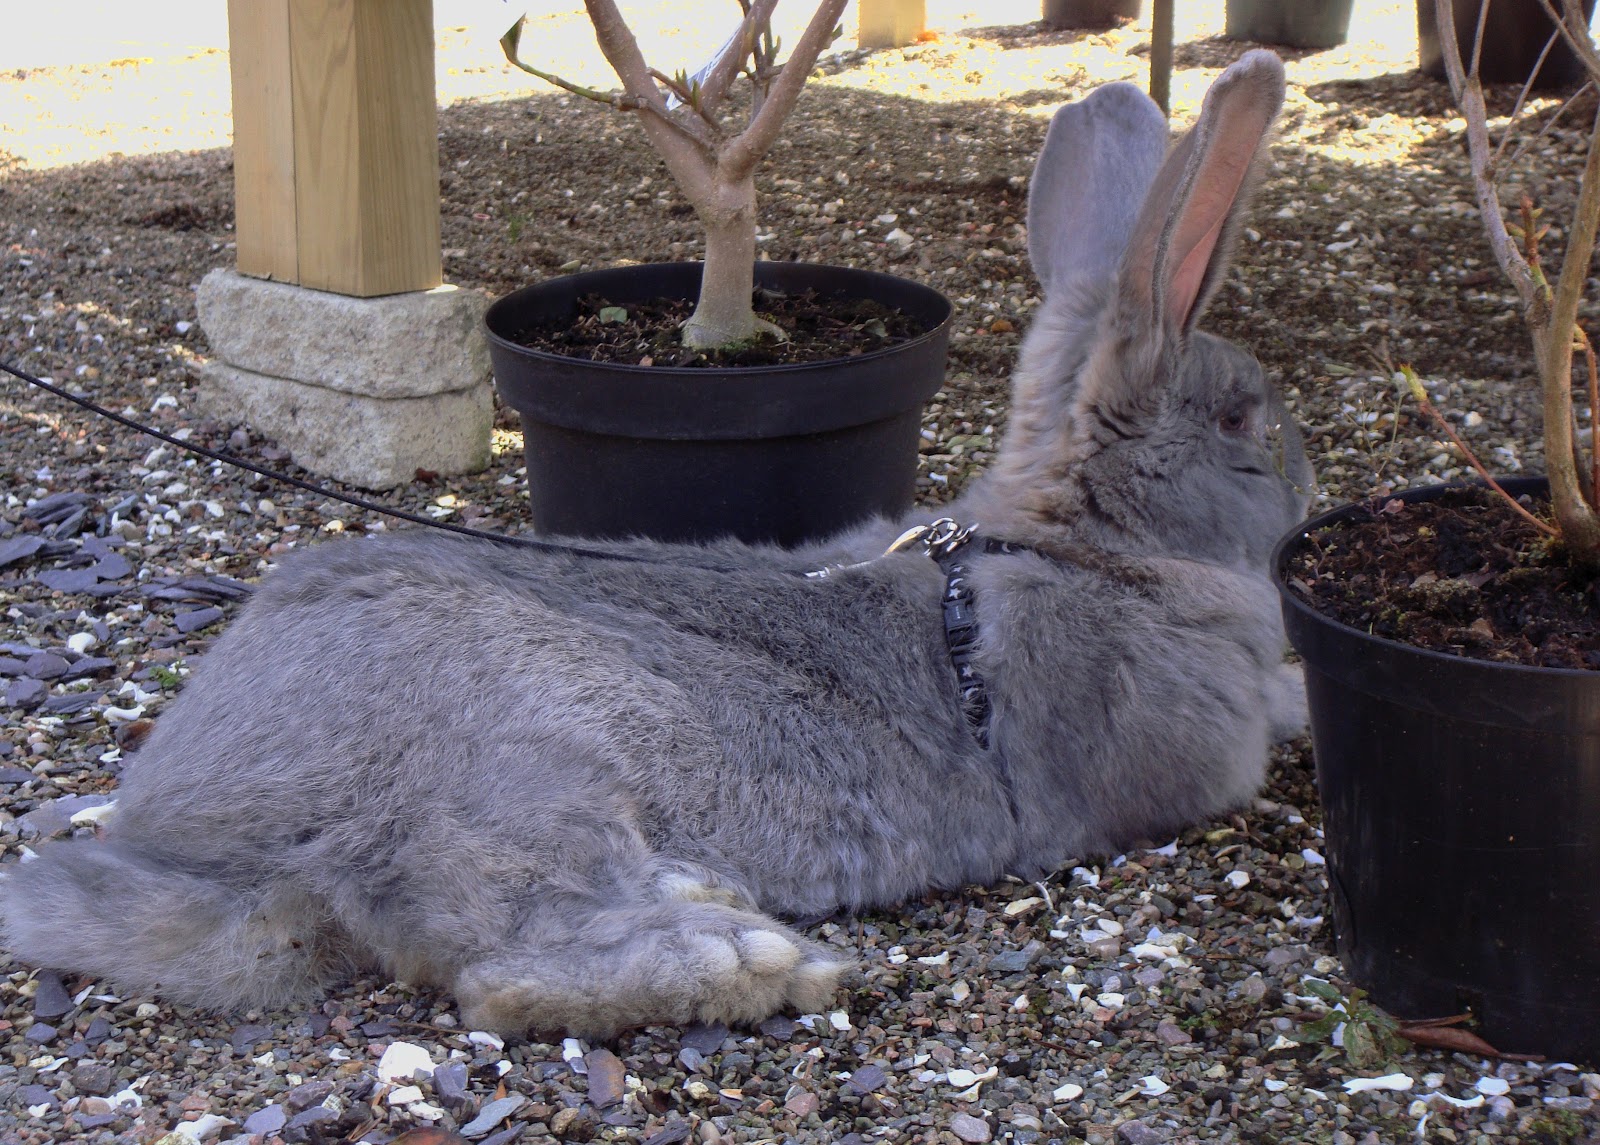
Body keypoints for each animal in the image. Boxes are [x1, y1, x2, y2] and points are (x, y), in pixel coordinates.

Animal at [0, 50, 1311, 1039]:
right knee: (488, 961)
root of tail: (182, 840)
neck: (1076, 540)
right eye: (1244, 421)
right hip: (539, 769)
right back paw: (761, 963)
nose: (1307, 483)